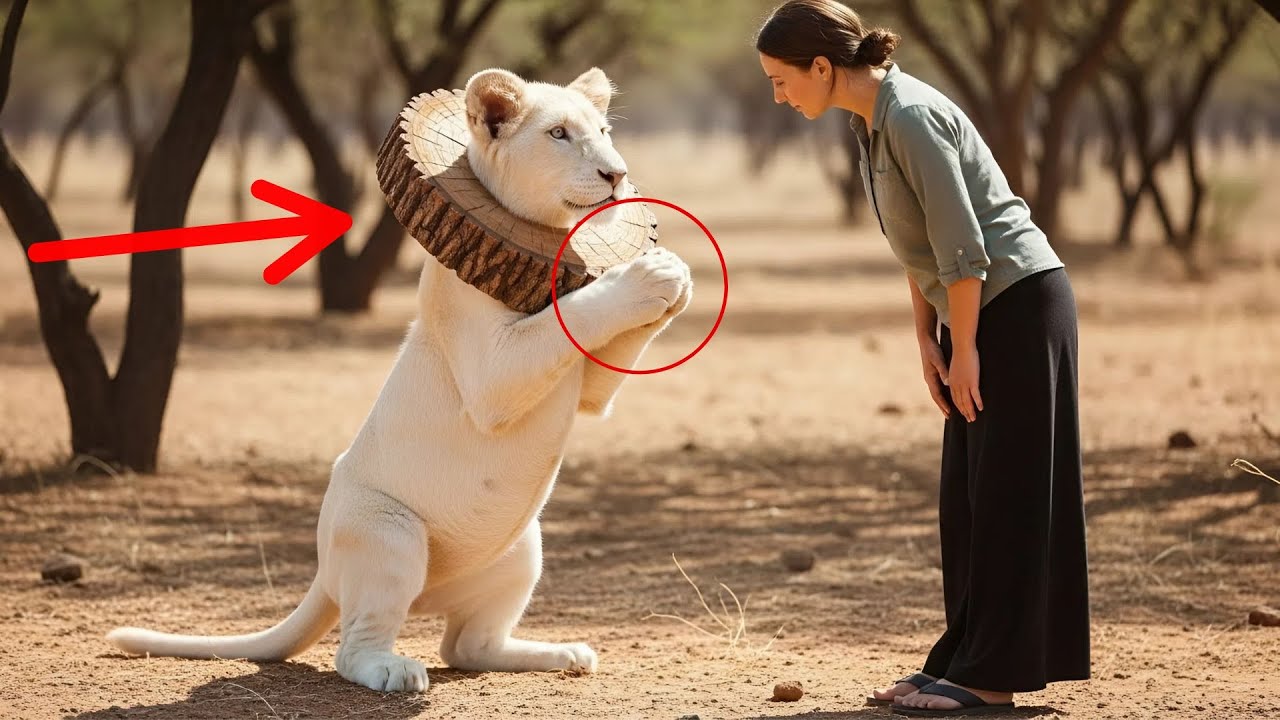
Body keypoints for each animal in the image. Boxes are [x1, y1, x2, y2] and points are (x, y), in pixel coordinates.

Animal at [106, 67, 693, 693]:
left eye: (603, 131)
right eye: (558, 134)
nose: (617, 175)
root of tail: (324, 574)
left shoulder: (587, 390)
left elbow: (606, 373)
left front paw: (675, 281)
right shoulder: (491, 372)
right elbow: (574, 311)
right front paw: (651, 274)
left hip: (522, 548)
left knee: (467, 646)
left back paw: (560, 653)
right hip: (388, 532)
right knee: (356, 646)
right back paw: (393, 670)